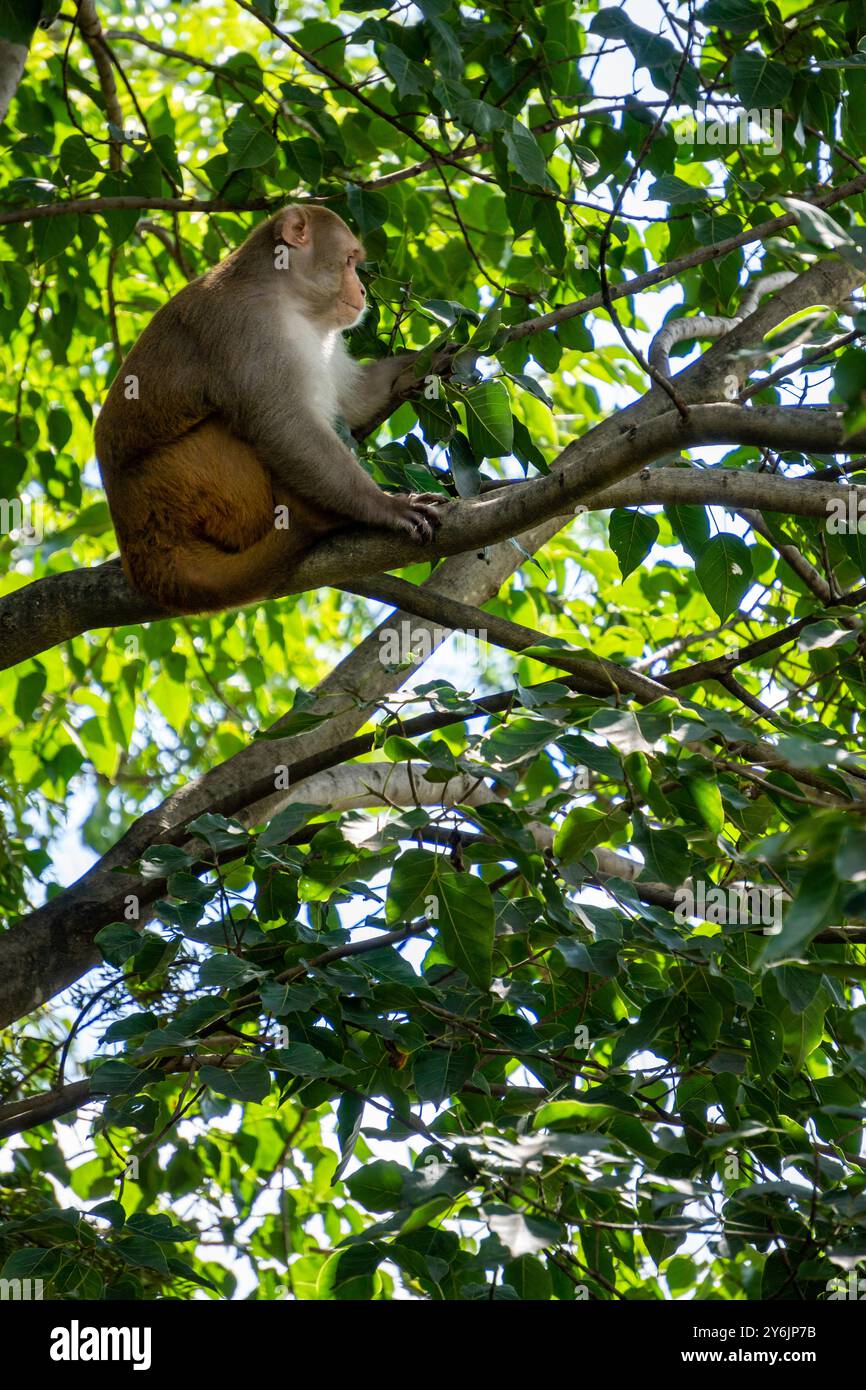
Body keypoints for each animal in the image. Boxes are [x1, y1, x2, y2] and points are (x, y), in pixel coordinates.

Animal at [94, 203, 447, 613]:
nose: (361, 290)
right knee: (225, 427)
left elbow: (352, 401)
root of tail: (142, 553)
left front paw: (428, 361)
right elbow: (283, 426)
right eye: (348, 261)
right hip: (183, 484)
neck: (289, 299)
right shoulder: (249, 326)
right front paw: (384, 507)